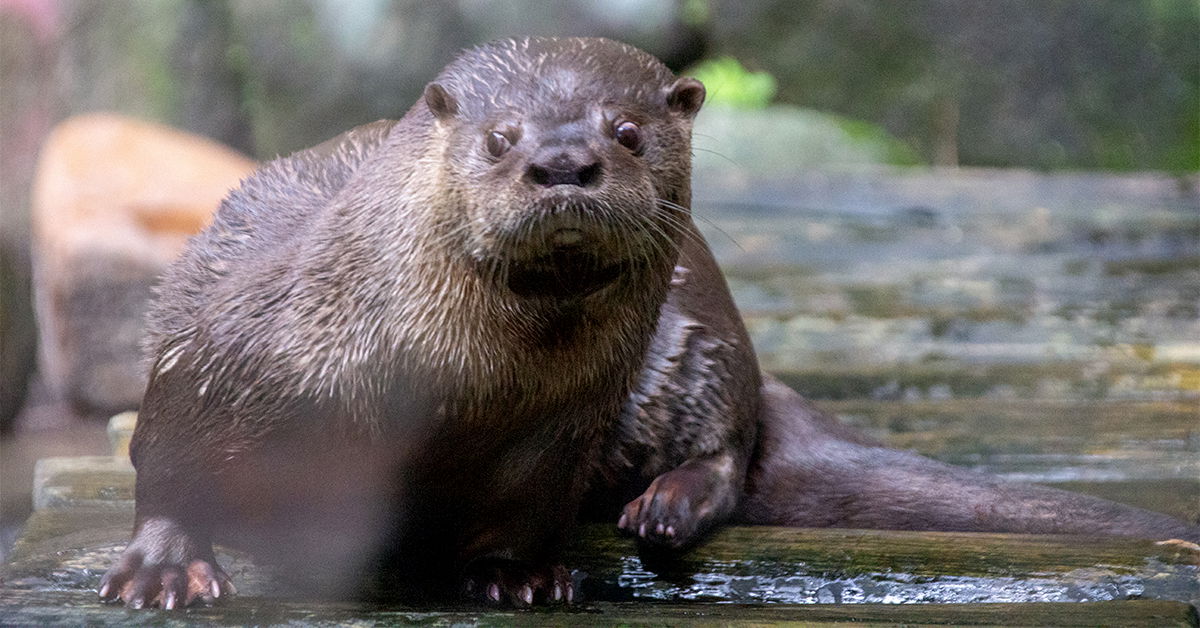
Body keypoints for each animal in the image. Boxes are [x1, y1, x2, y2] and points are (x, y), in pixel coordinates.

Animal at [99, 37, 1199, 610]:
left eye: (628, 131)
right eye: (500, 137)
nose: (564, 161)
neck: (441, 387)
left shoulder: (556, 430)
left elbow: (529, 505)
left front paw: (521, 575)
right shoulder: (221, 353)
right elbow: (168, 458)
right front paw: (163, 566)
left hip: (701, 331)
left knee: (734, 443)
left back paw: (667, 502)